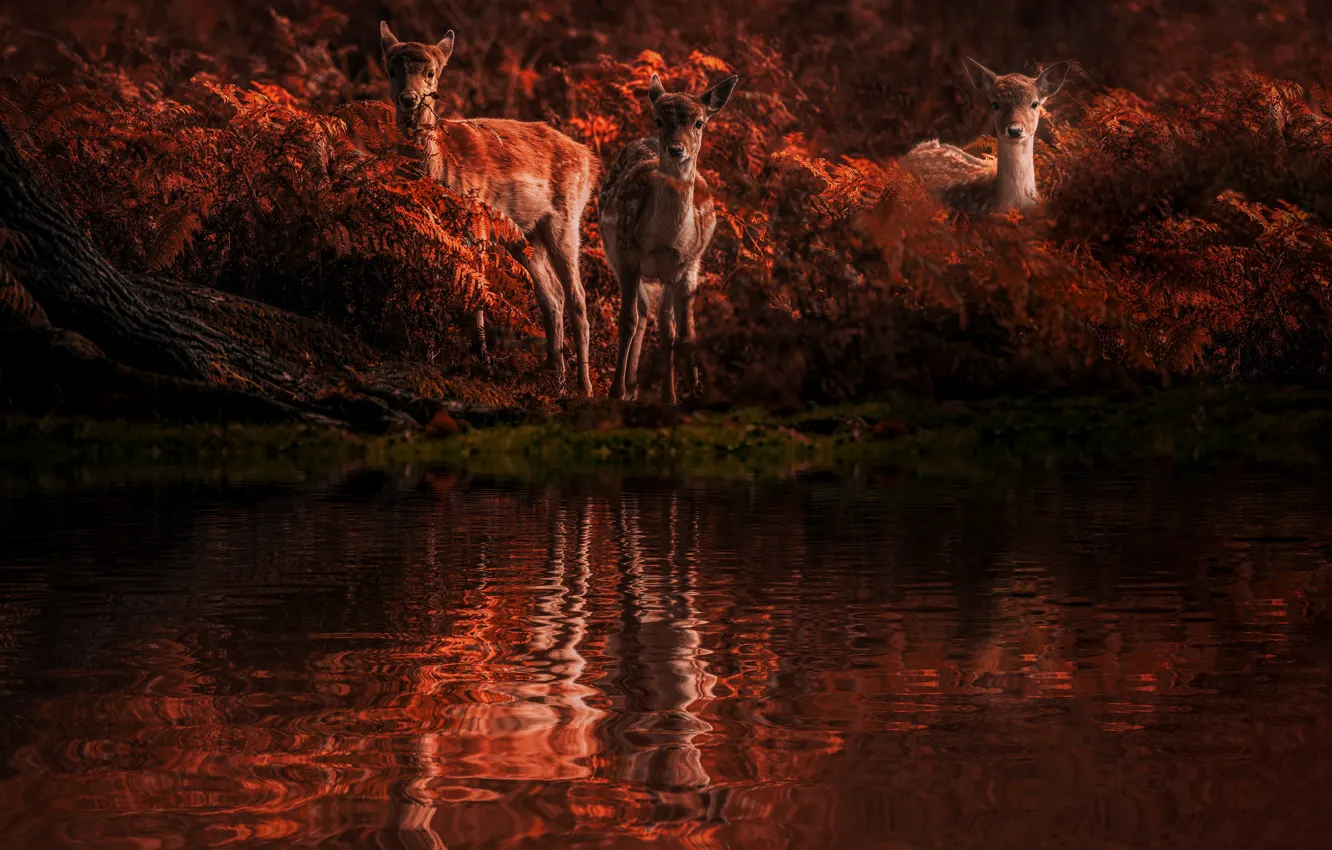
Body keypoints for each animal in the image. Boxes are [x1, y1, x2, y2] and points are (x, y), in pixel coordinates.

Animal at [378, 22, 595, 397]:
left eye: (432, 72)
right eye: (392, 69)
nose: (408, 98)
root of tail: (590, 160)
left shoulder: (475, 222)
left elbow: (476, 292)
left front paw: (481, 361)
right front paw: (430, 351)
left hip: (566, 220)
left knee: (578, 297)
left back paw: (585, 388)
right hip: (526, 236)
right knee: (551, 295)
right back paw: (554, 375)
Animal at [599, 72, 739, 405]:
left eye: (699, 122)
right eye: (659, 120)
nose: (676, 148)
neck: (664, 241)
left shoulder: (680, 268)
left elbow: (673, 332)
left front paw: (674, 395)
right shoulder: (627, 258)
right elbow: (626, 322)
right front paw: (615, 391)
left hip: (686, 269)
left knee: (671, 324)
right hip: (615, 256)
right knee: (640, 315)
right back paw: (630, 388)